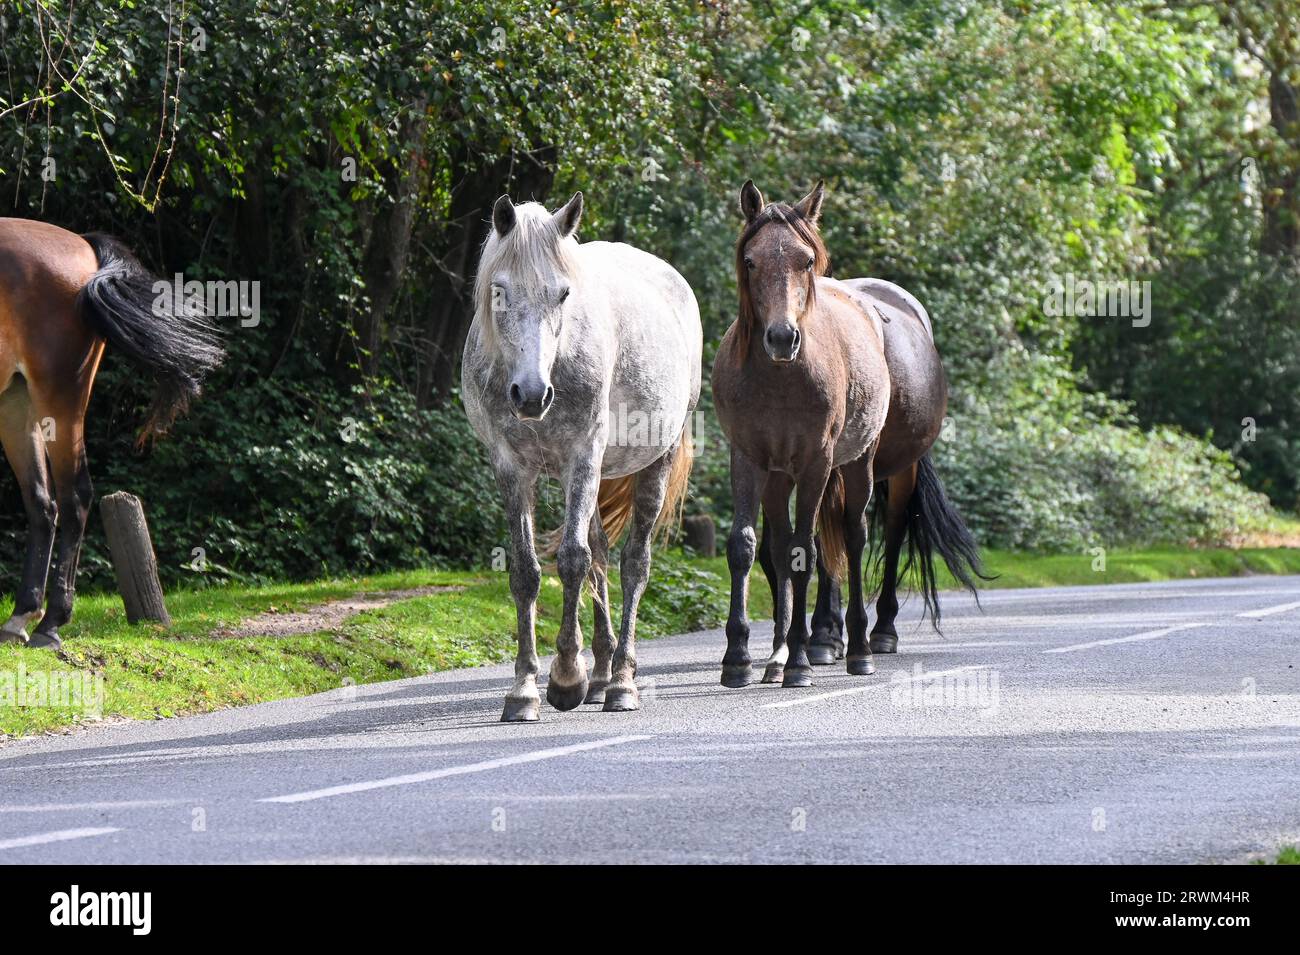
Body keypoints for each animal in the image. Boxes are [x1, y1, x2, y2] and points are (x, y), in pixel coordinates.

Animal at [0, 219, 223, 650]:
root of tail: (84, 246)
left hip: (59, 398)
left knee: (74, 496)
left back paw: (50, 624)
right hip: (14, 401)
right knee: (41, 502)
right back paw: (20, 618)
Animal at [462, 192, 701, 721]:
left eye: (563, 295)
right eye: (499, 292)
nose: (531, 395)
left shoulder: (582, 457)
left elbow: (572, 560)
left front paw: (566, 676)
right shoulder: (510, 467)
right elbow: (527, 571)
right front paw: (523, 689)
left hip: (656, 459)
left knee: (633, 563)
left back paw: (621, 683)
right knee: (603, 555)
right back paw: (603, 674)